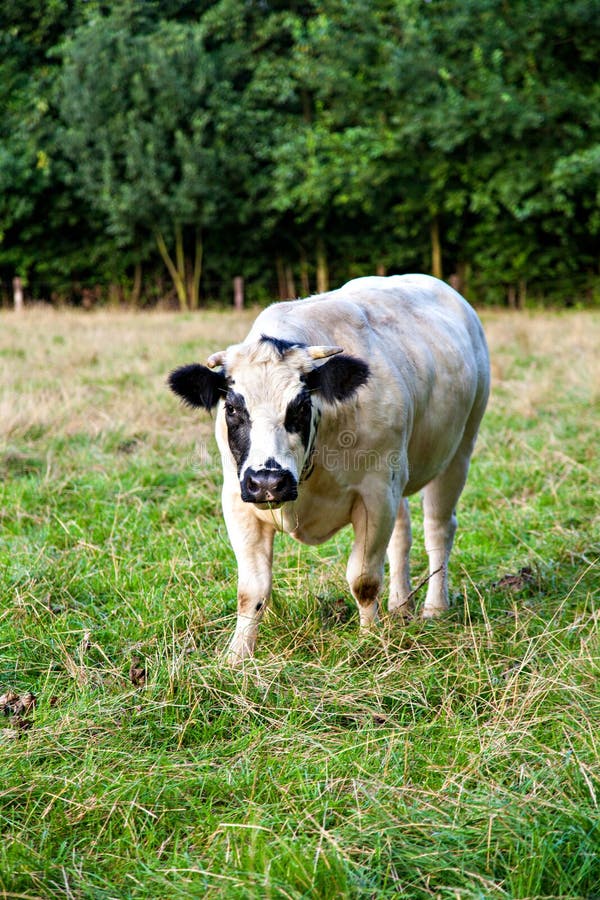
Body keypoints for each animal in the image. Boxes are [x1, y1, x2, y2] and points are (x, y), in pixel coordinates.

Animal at [169, 275, 490, 663]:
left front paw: (370, 641)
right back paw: (401, 606)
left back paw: (434, 607)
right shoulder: (237, 499)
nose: (268, 482)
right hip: (399, 476)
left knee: (438, 530)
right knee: (403, 534)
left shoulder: (375, 495)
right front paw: (237, 656)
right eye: (232, 408)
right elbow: (252, 589)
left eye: (300, 405)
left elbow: (363, 580)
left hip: (459, 451)